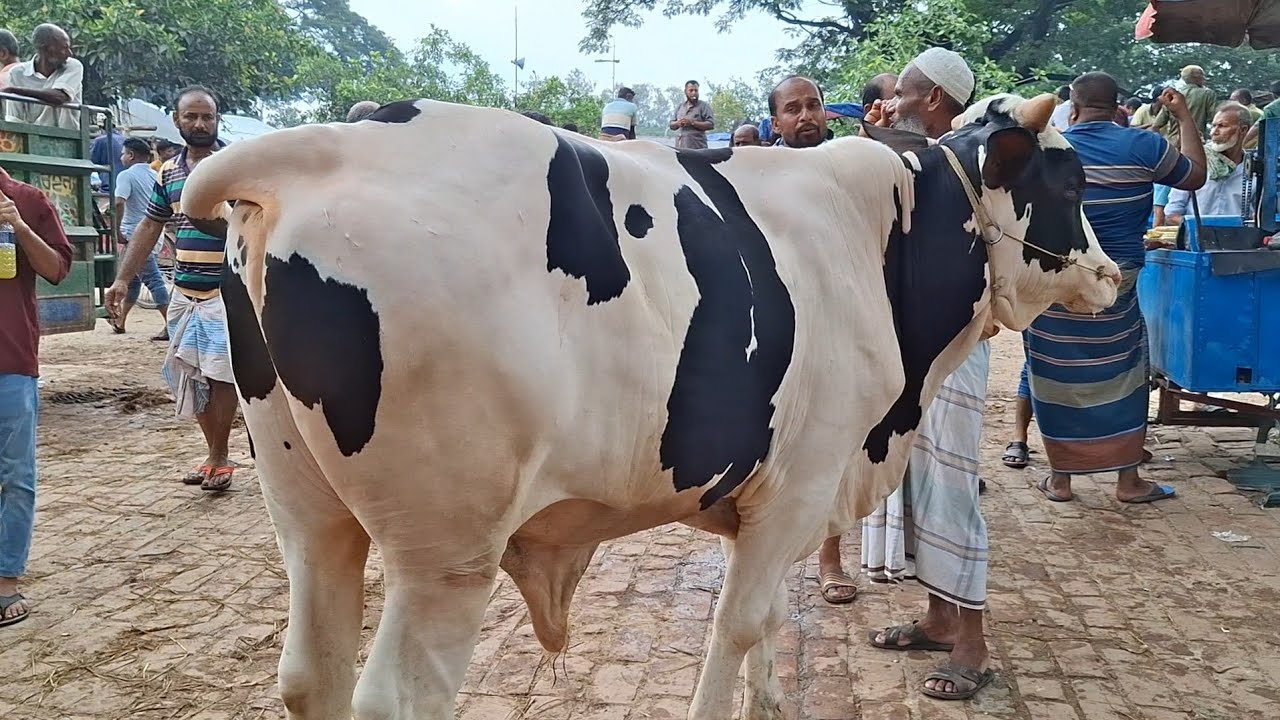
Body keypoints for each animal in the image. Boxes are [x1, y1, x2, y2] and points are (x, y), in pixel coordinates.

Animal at [179, 92, 1119, 720]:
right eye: (1070, 184)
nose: (1113, 273)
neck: (880, 235)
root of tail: (331, 143)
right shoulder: (802, 482)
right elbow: (738, 625)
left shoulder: (776, 498)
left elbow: (768, 618)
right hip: (444, 551)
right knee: (394, 696)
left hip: (308, 514)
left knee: (311, 675)